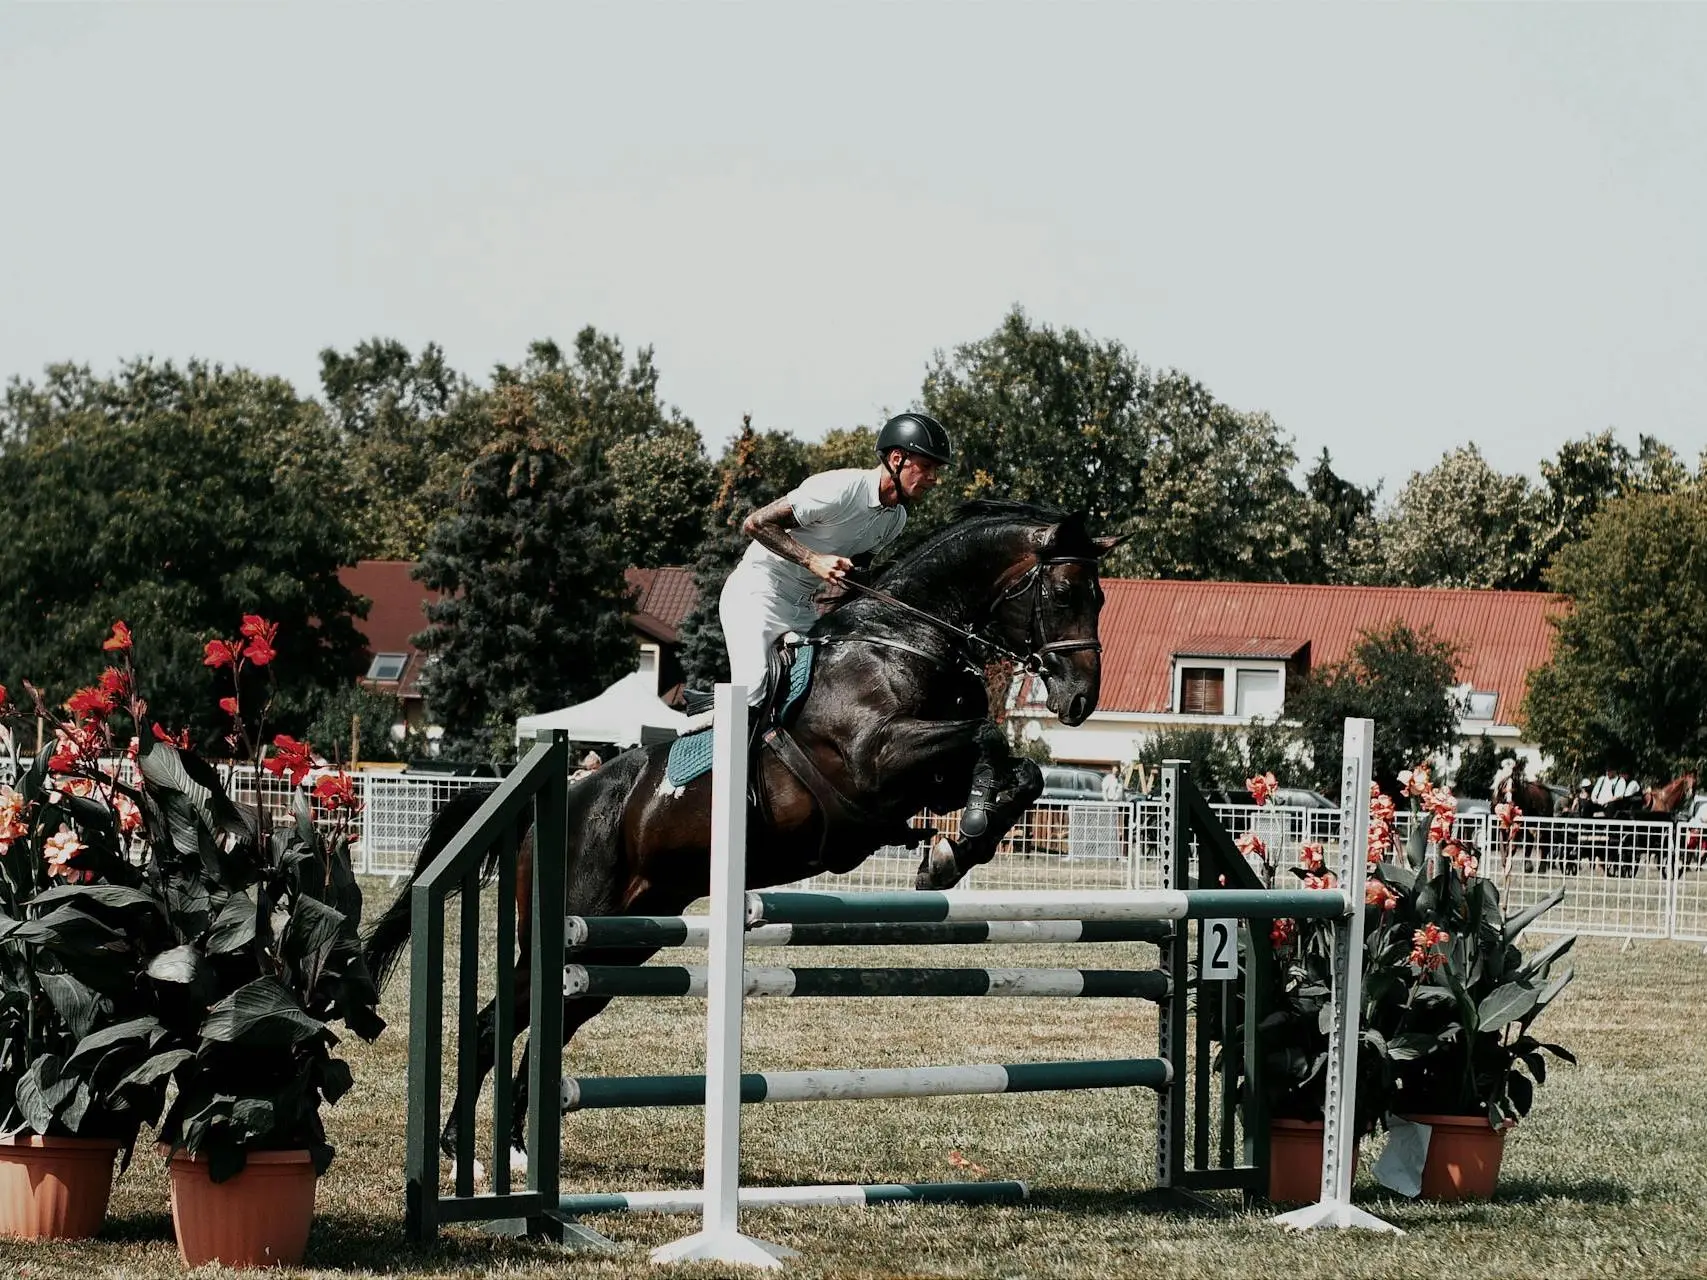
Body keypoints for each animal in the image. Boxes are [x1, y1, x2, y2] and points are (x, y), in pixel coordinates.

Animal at [363, 500, 1120, 1165]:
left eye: (1101, 597)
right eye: (1065, 591)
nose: (1079, 700)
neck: (903, 643)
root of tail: (559, 800)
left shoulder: (920, 778)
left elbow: (1018, 769)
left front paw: (960, 842)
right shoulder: (876, 757)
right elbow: (987, 736)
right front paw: (958, 840)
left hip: (621, 940)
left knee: (554, 1016)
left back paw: (517, 1145)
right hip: (571, 928)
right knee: (498, 1020)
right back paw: (459, 1148)